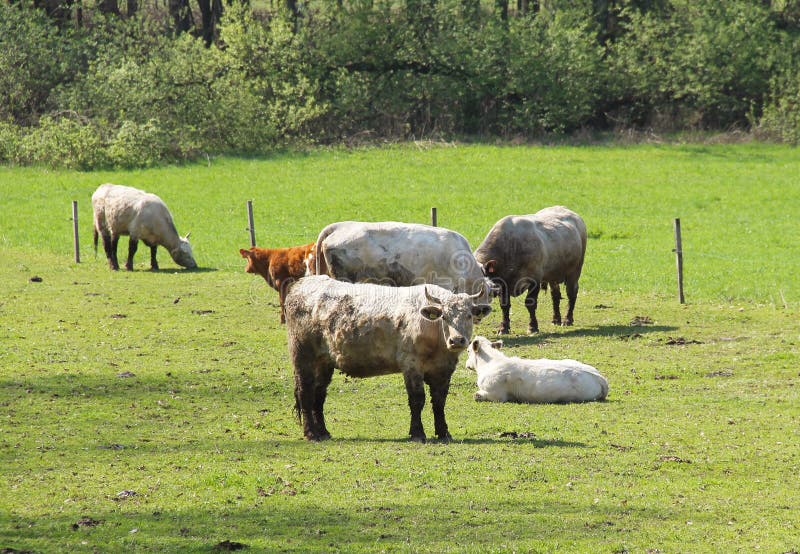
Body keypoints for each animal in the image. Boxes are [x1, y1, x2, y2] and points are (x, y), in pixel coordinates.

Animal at [284, 275, 492, 442]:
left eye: (469, 315)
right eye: (444, 317)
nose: (457, 340)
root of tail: (300, 285)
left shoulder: (443, 370)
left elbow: (439, 402)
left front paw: (443, 433)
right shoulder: (411, 366)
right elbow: (417, 400)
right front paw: (417, 433)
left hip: (324, 362)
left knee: (319, 394)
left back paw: (323, 432)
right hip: (302, 356)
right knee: (305, 393)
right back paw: (311, 433)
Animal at [466, 336, 608, 403]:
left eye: (467, 351)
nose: (467, 364)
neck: (491, 362)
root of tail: (598, 376)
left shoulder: (496, 394)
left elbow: (476, 395)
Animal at [474, 206, 587, 334]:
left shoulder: (534, 280)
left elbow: (530, 304)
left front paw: (533, 327)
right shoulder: (503, 284)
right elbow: (505, 306)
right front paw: (504, 327)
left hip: (575, 271)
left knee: (571, 293)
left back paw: (567, 319)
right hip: (553, 275)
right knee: (555, 295)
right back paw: (556, 319)